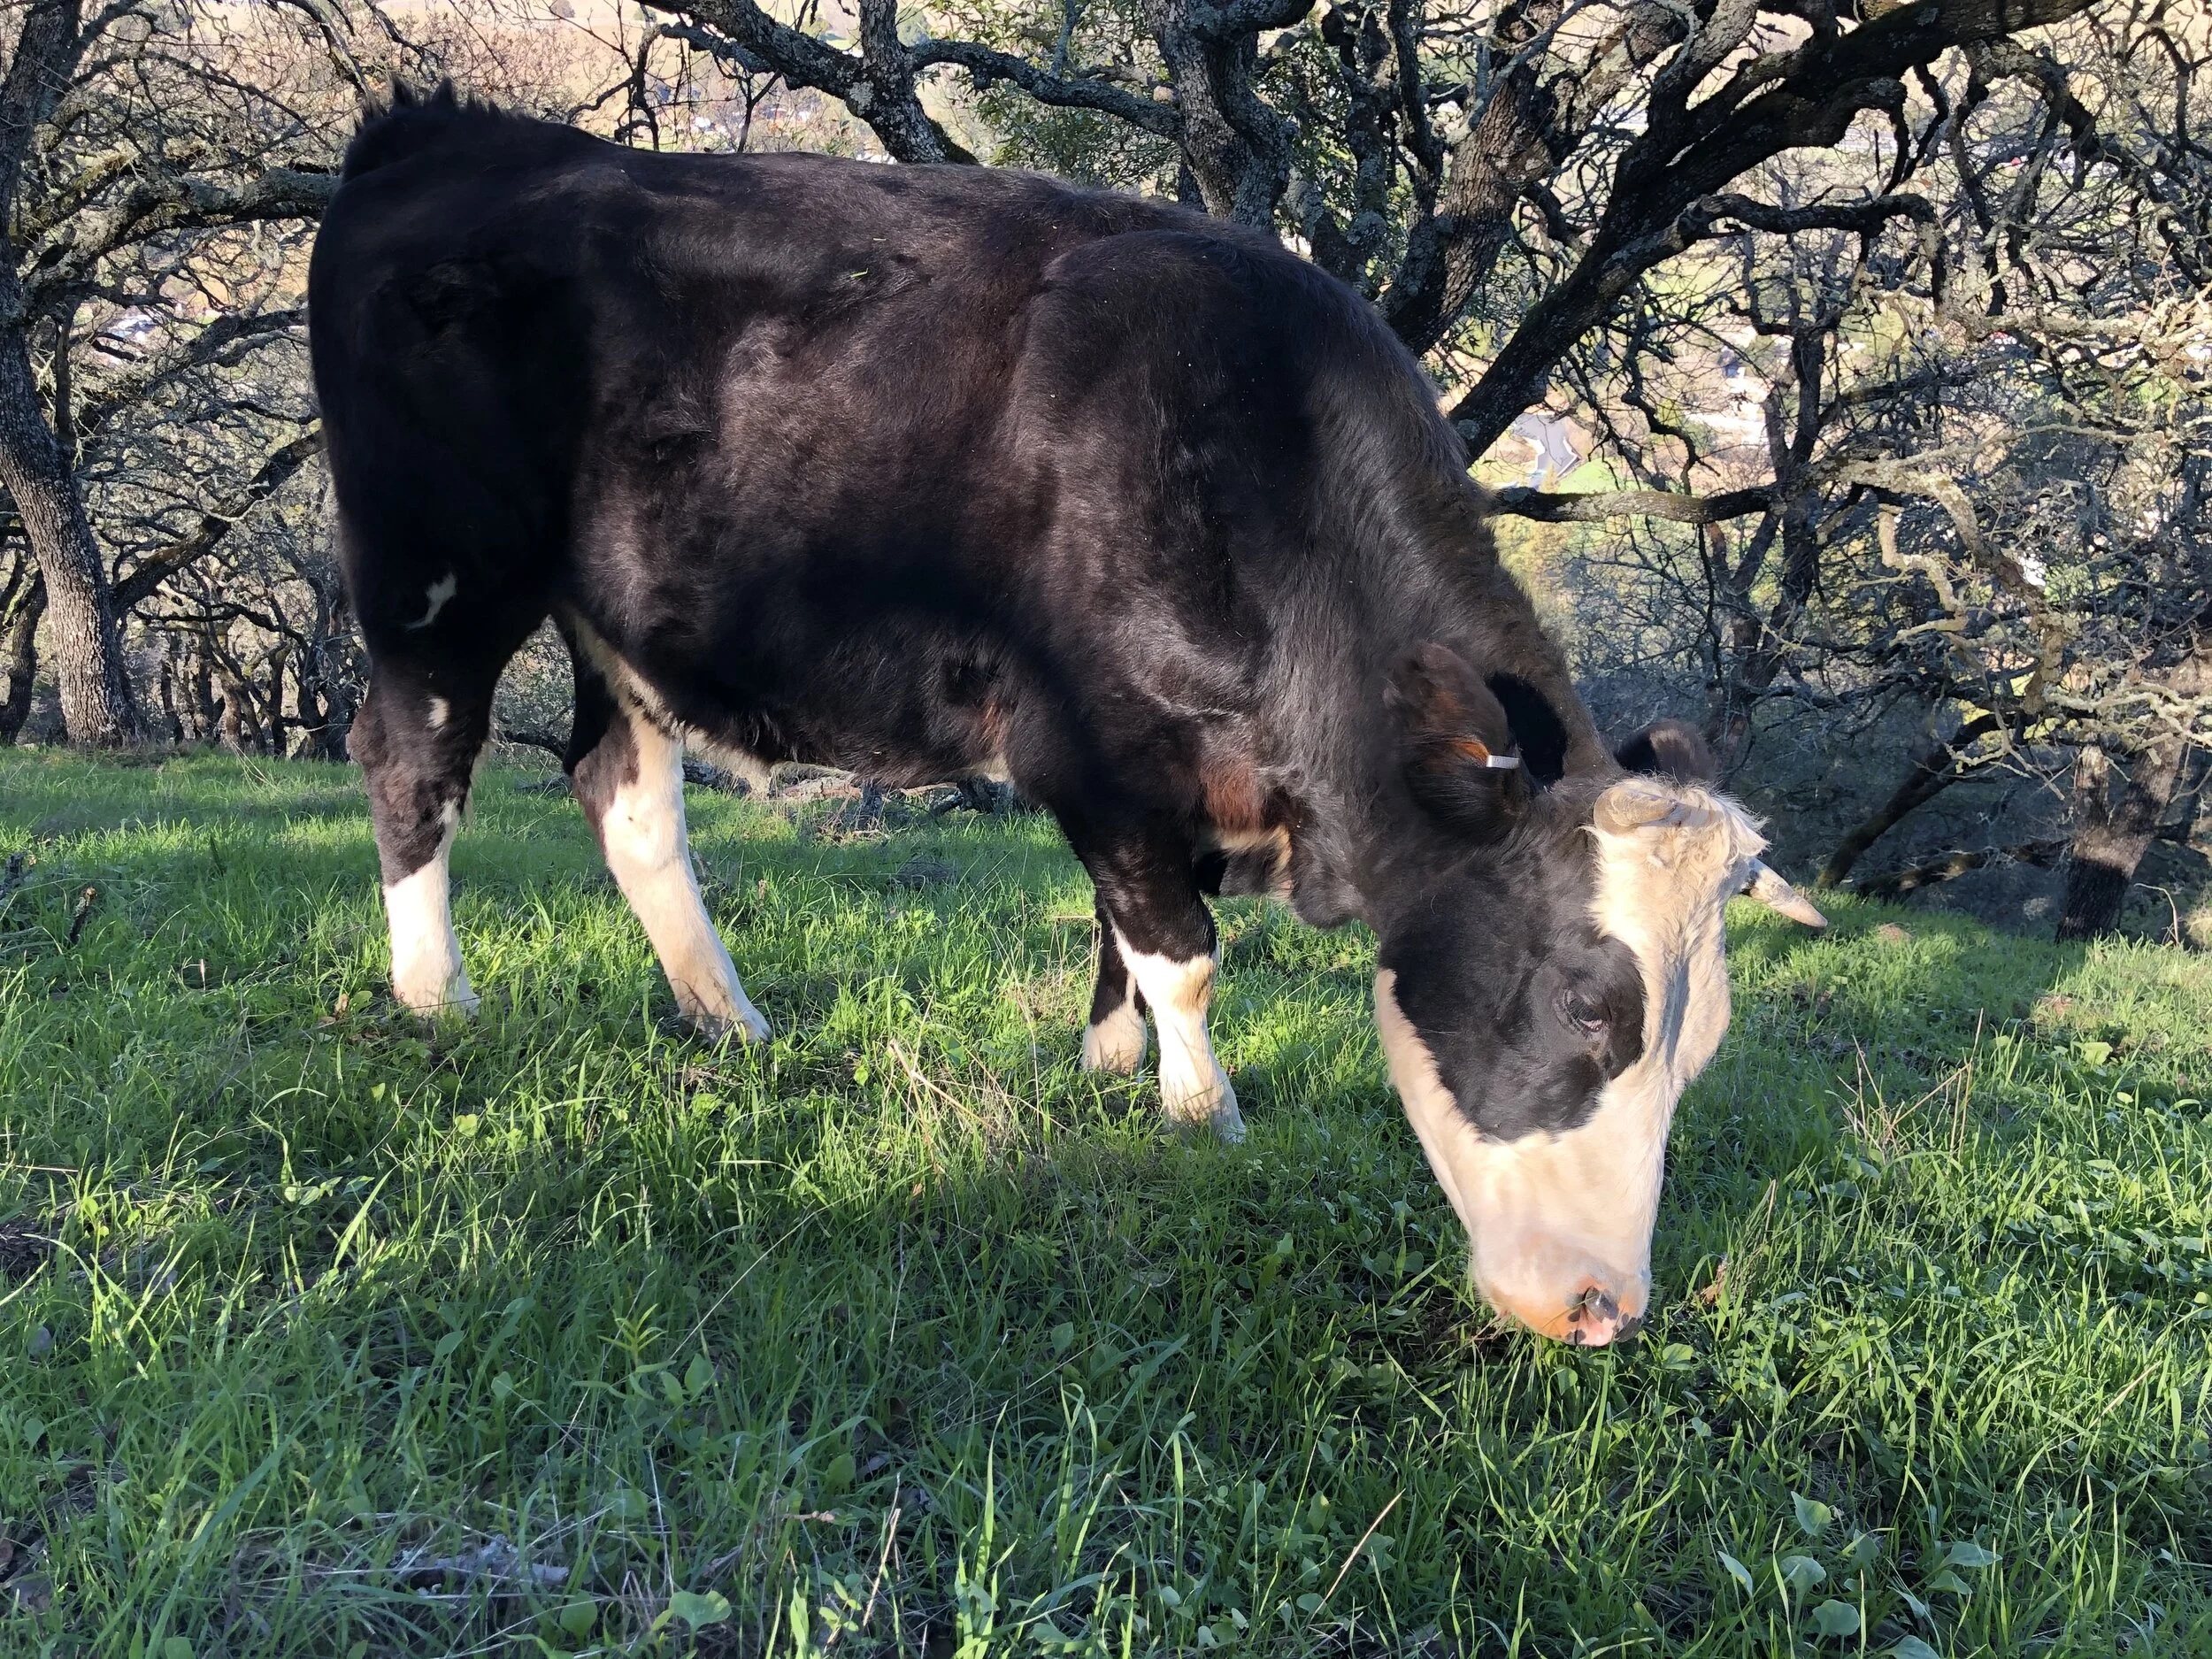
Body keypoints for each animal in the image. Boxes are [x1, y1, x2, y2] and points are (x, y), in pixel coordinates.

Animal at [309, 87, 1825, 1348]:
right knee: (412, 757)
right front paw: (1203, 1112)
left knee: (620, 789)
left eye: (1701, 1041)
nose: (1605, 1309)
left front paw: (1108, 1068)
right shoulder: (1093, 744)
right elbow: (1183, 947)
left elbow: (1125, 930)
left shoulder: (1167, 779)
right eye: (1585, 1006)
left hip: (617, 614)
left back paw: (728, 1017)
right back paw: (436, 994)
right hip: (436, 569)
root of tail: (446, 135)